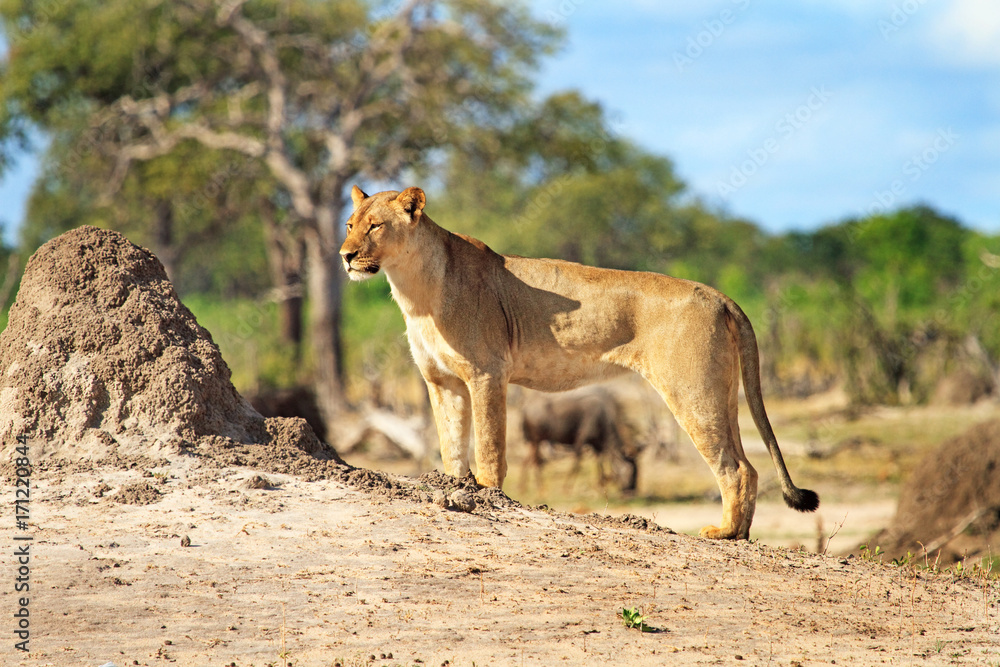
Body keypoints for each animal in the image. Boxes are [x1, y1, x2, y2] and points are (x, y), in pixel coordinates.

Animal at [340, 185, 818, 539]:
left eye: (375, 226)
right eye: (349, 225)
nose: (345, 256)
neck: (415, 290)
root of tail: (719, 295)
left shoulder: (487, 374)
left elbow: (490, 449)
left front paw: (488, 496)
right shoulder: (442, 383)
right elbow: (451, 446)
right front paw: (455, 489)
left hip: (692, 392)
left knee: (734, 467)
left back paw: (723, 534)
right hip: (720, 394)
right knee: (749, 466)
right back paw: (741, 534)